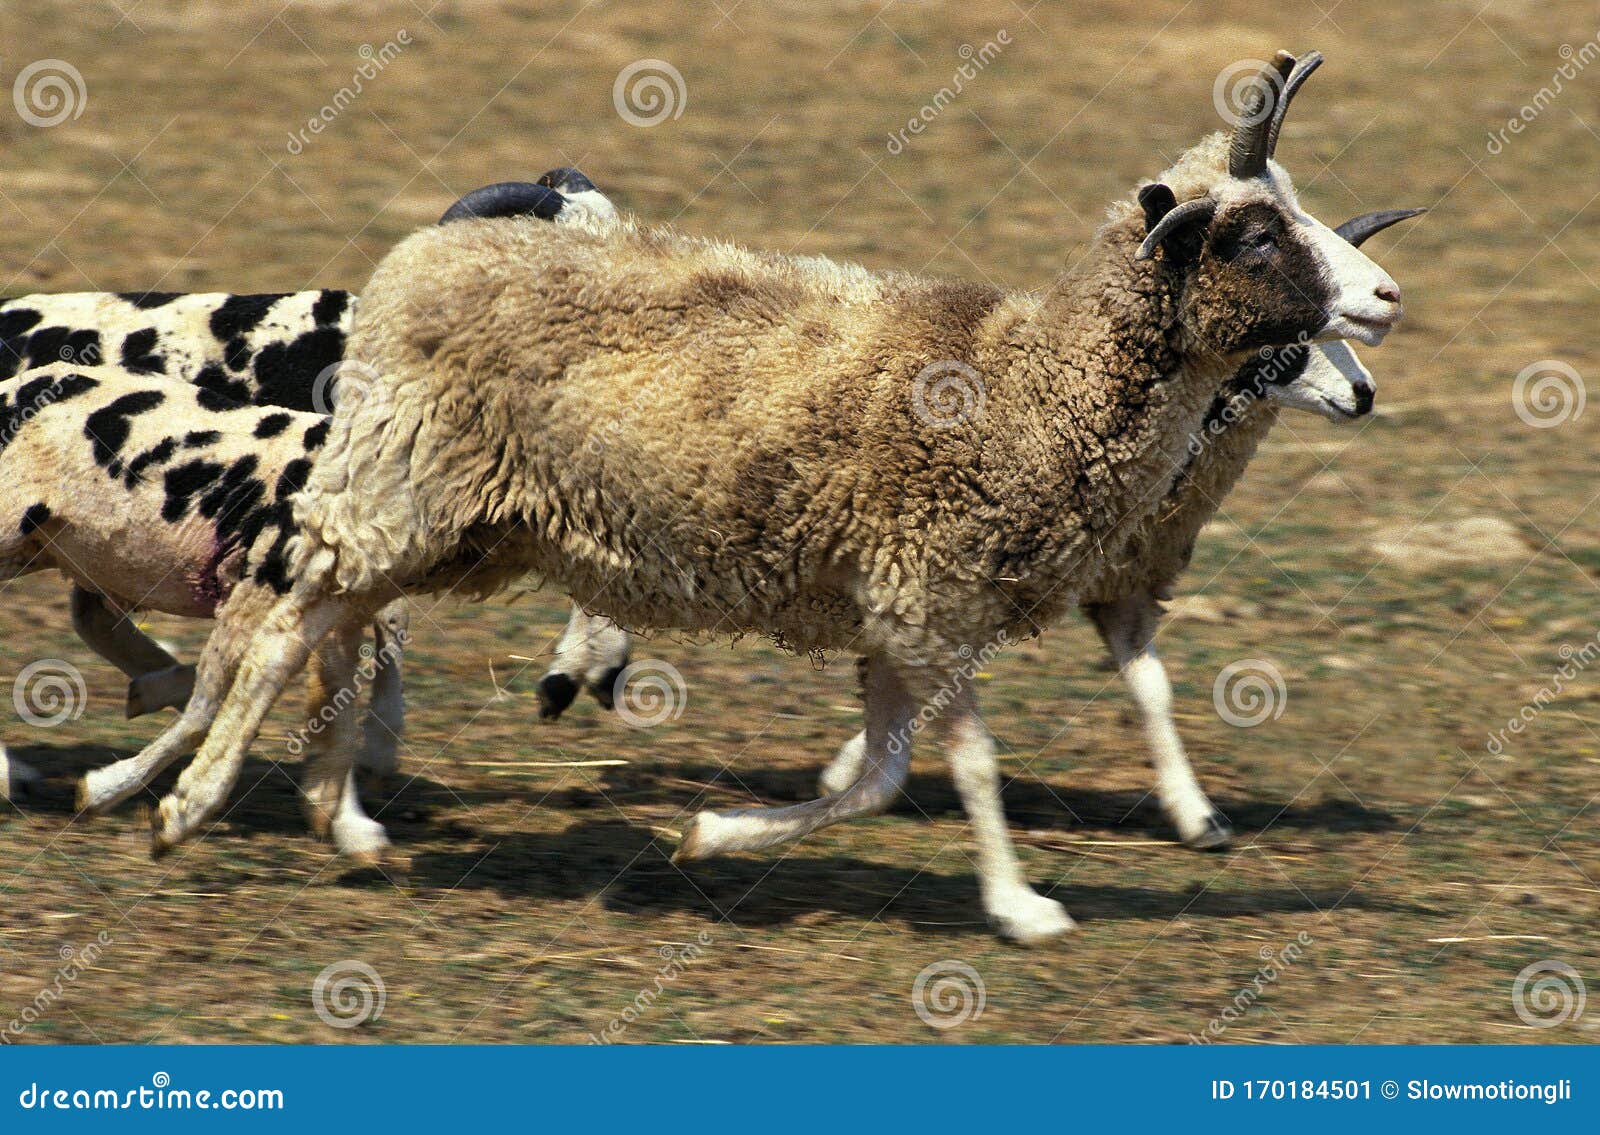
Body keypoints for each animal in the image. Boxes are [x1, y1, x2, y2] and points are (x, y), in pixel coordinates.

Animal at [817, 206, 1426, 849]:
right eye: (1285, 337)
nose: (1364, 395)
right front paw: (848, 767)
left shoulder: (1120, 581)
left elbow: (1153, 689)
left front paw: (1198, 816)